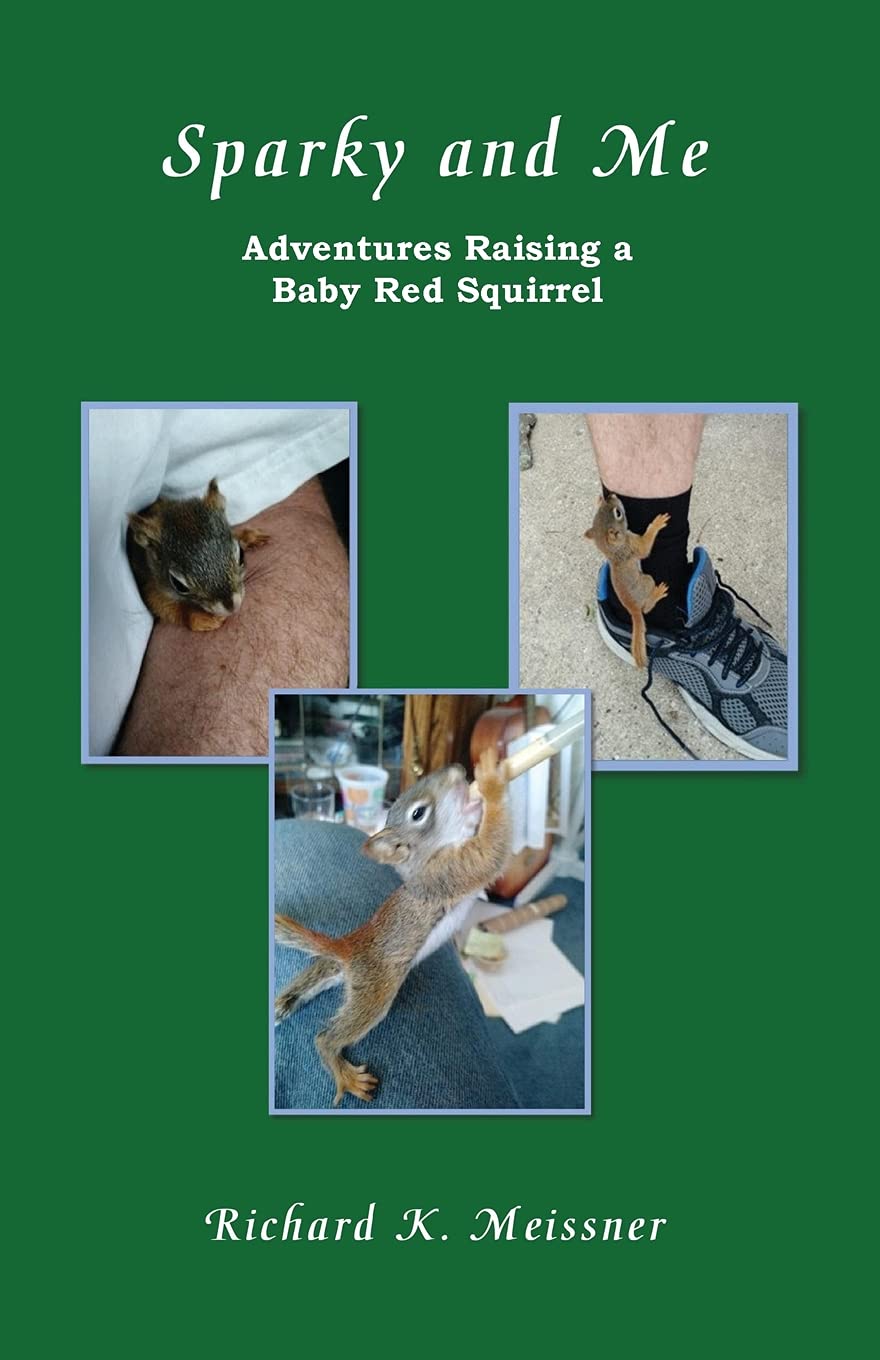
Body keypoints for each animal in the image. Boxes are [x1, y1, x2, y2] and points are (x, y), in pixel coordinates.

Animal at [126, 478, 269, 631]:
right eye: (178, 585)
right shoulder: (151, 585)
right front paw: (201, 618)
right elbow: (165, 606)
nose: (231, 607)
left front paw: (248, 536)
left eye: (241, 555)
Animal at [274, 746, 511, 1106]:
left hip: (337, 974)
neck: (431, 856)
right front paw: (492, 782)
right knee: (326, 1038)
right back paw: (344, 1073)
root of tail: (348, 948)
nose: (459, 770)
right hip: (375, 993)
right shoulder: (451, 872)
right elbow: (491, 852)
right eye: (419, 814)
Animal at [585, 493, 670, 668]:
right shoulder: (632, 545)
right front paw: (656, 524)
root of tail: (634, 609)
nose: (610, 495)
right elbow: (645, 548)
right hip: (647, 581)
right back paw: (657, 594)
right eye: (618, 513)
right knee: (647, 609)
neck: (614, 550)